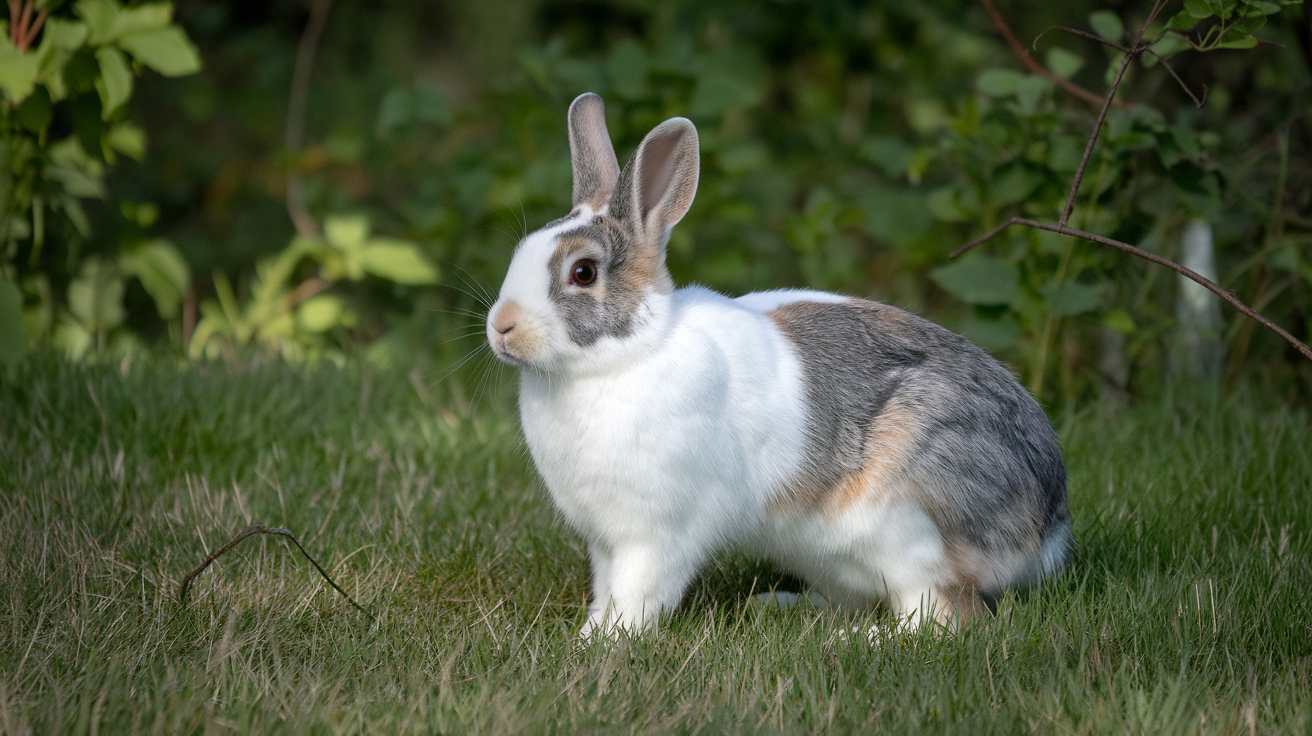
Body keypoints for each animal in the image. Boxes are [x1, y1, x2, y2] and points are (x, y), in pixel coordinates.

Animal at [486, 92, 1070, 637]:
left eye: (582, 272)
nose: (501, 326)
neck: (627, 354)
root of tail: (1047, 533)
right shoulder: (604, 543)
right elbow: (607, 589)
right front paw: (590, 633)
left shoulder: (657, 534)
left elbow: (639, 592)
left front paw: (605, 643)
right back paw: (782, 606)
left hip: (909, 528)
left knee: (944, 615)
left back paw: (858, 641)